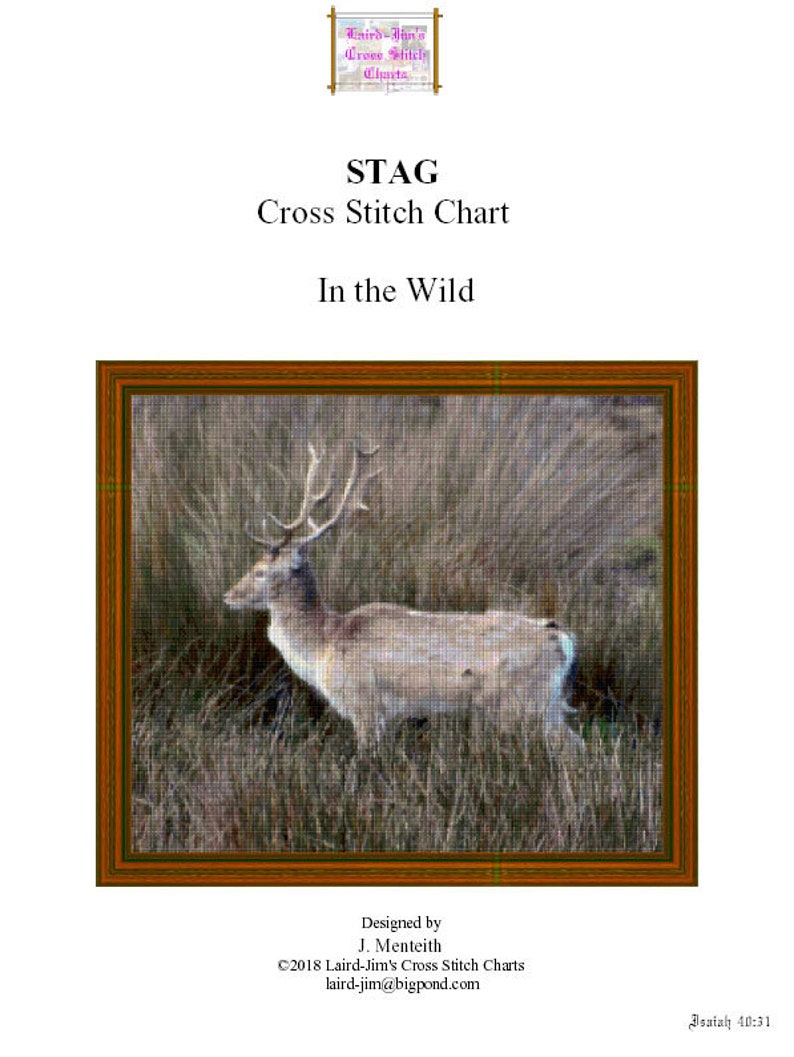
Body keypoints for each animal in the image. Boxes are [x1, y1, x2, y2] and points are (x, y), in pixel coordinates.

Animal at [224, 441, 580, 750]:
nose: (229, 595)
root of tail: (564, 640)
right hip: (547, 705)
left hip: (523, 702)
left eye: (260, 570)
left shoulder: (365, 703)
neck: (324, 645)